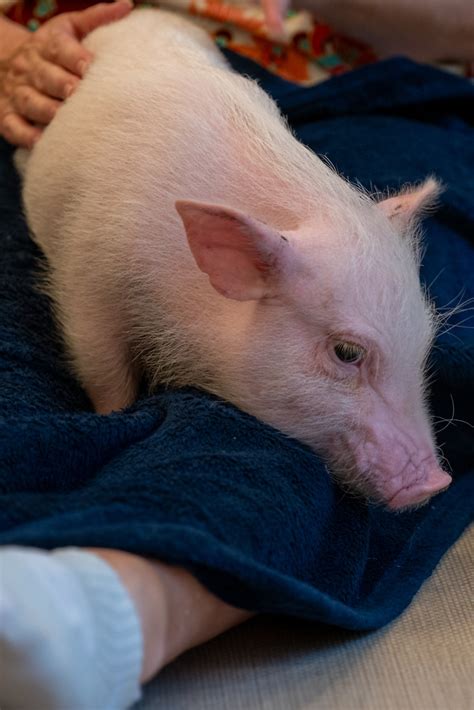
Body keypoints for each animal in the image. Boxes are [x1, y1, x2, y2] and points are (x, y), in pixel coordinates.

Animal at [17, 8, 451, 510]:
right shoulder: (85, 283)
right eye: (347, 352)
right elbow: (106, 375)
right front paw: (115, 414)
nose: (437, 483)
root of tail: (141, 11)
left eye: (424, 341)